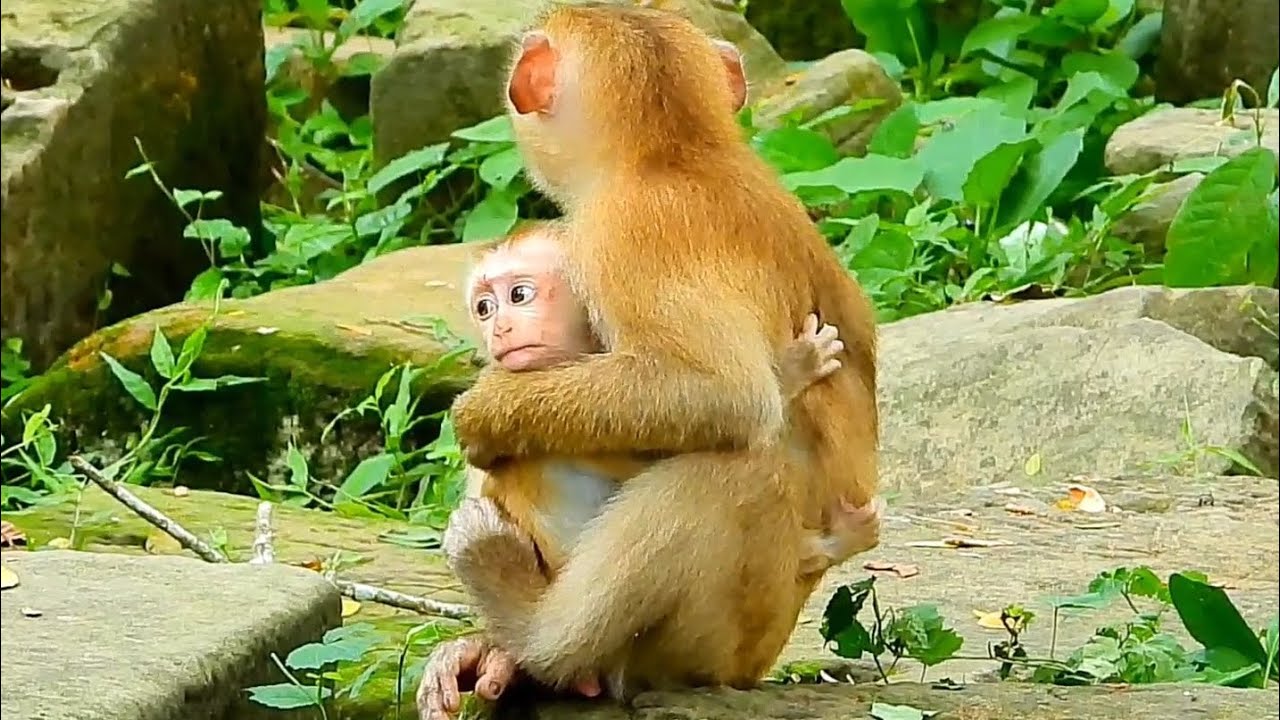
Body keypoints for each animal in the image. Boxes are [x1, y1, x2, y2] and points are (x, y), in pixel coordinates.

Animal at [418, 5, 880, 717]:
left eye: (518, 296)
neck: (675, 149)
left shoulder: (621, 236)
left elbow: (726, 396)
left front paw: (485, 411)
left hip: (713, 647)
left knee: (727, 469)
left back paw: (537, 636)